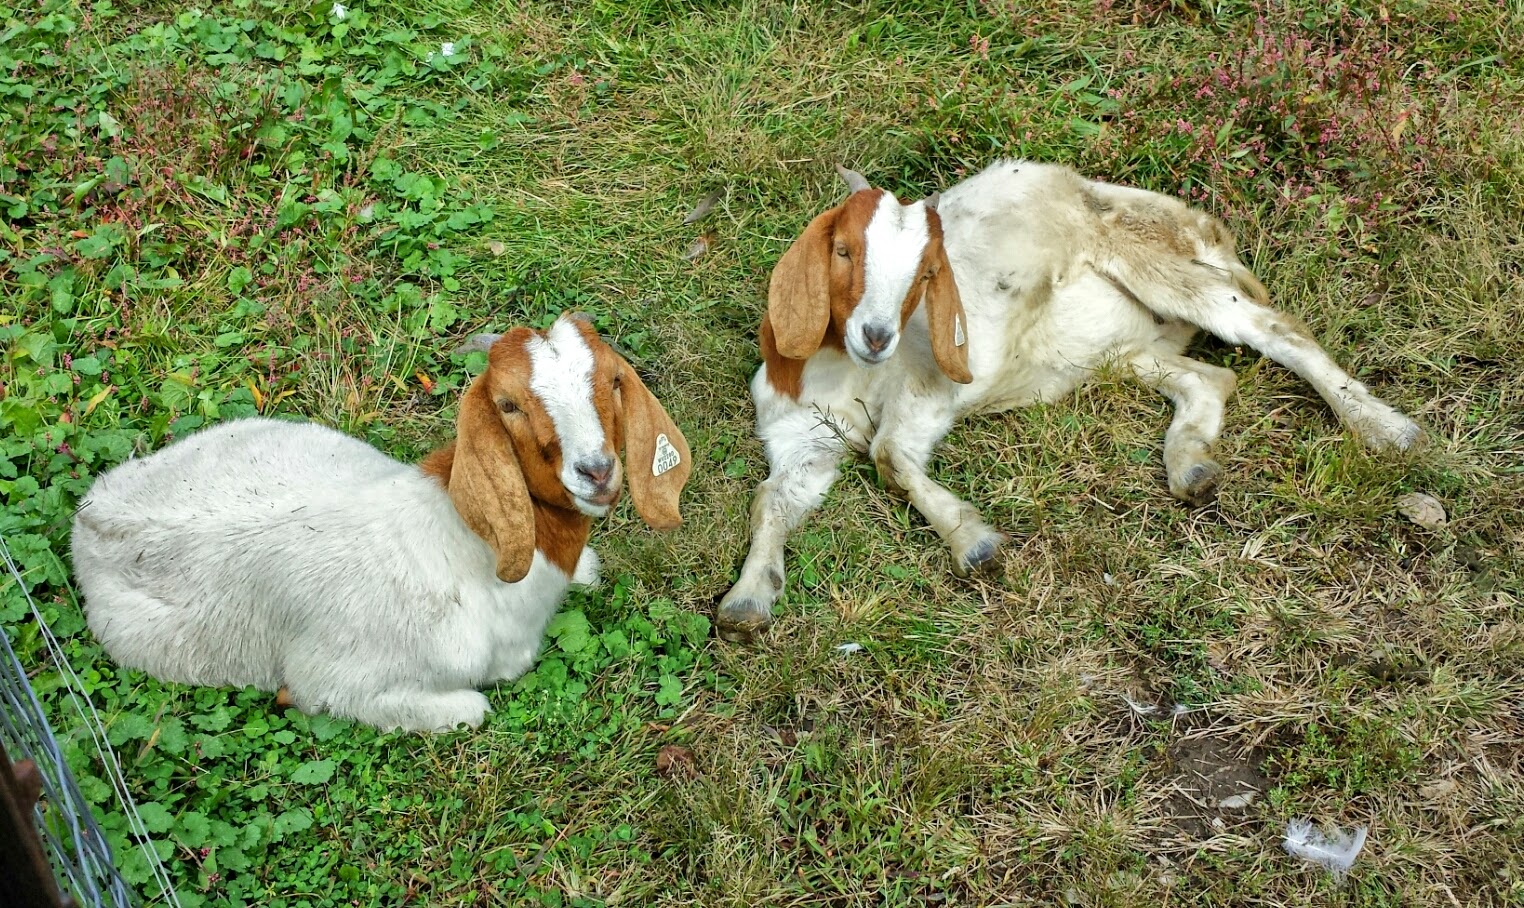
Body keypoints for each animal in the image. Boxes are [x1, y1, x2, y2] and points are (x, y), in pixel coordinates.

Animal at [72, 313, 693, 732]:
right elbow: (472, 707)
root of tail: (94, 509)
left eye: (613, 380)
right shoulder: (340, 684)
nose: (597, 471)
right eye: (509, 404)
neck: (470, 553)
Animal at [716, 161, 1421, 641]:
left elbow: (890, 455)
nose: (877, 334)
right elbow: (770, 500)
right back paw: (1192, 466)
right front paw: (748, 598)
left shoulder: (934, 385)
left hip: (1157, 266)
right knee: (1210, 379)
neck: (851, 377)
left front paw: (973, 543)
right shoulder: (802, 438)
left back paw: (1385, 430)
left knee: (1278, 332)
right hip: (1121, 351)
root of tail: (1199, 226)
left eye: (926, 273)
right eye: (843, 249)